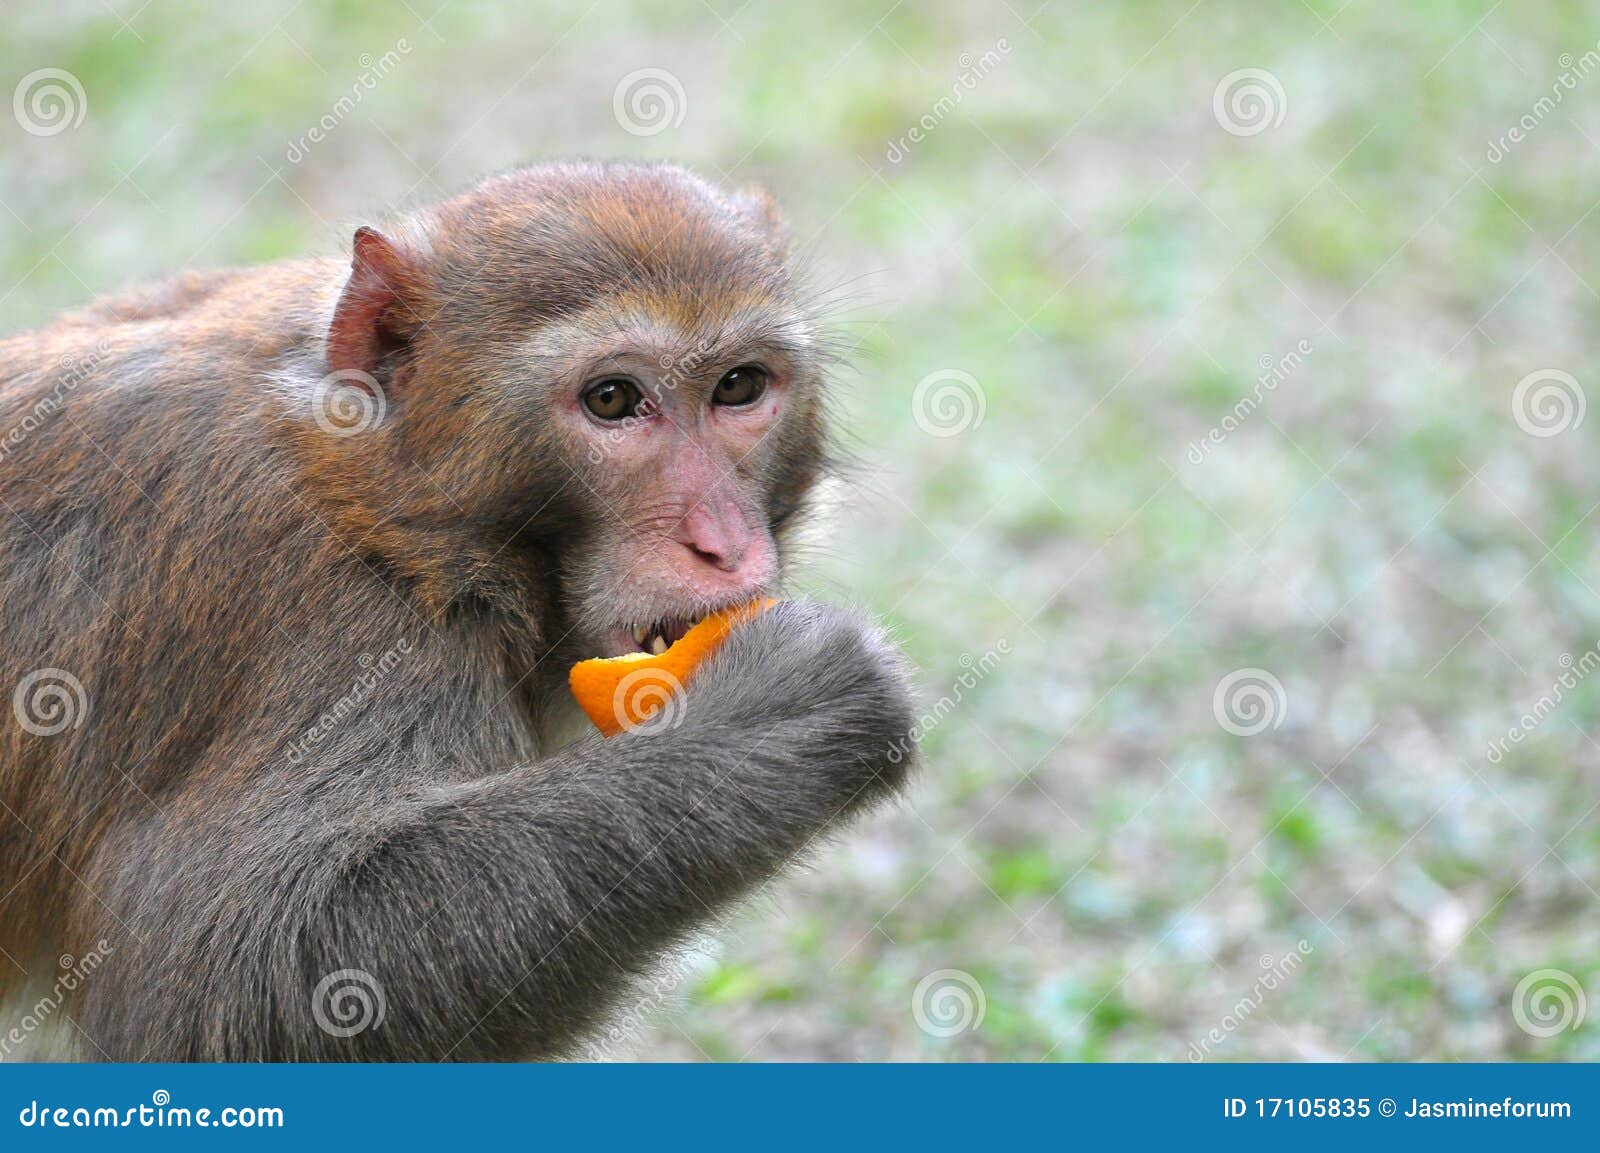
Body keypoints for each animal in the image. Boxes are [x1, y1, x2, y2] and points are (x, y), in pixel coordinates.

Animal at [0, 162, 916, 1061]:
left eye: (738, 386)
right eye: (613, 400)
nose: (721, 542)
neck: (383, 502)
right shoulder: (310, 611)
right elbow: (222, 979)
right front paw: (786, 700)